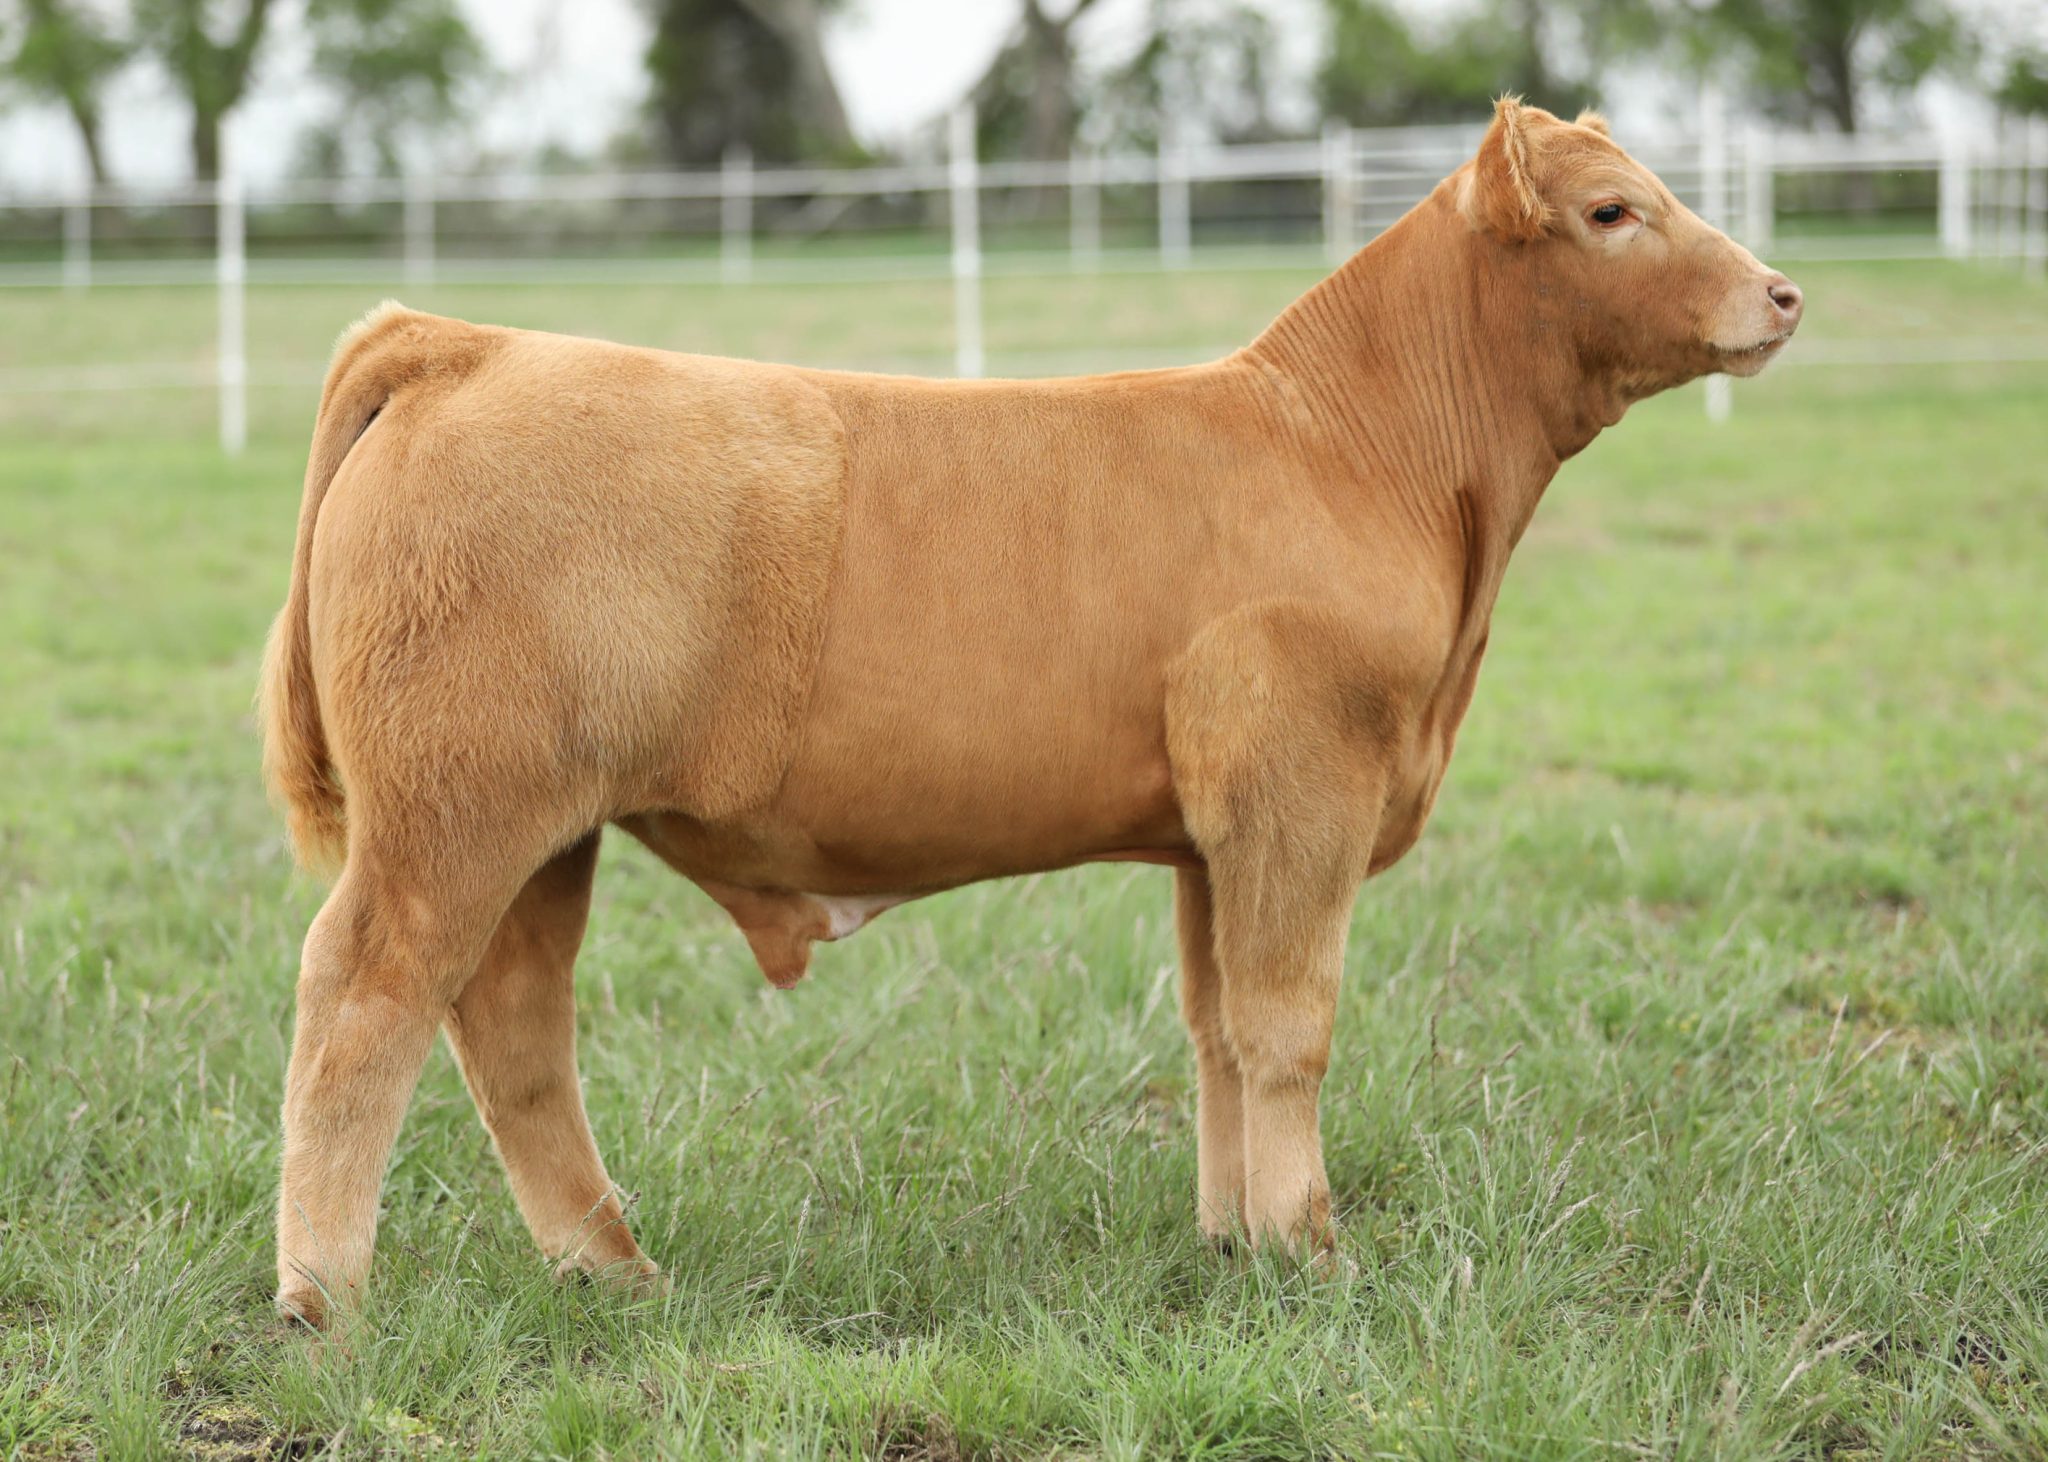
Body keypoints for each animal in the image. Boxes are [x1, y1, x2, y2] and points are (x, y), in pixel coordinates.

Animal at [260, 99, 1802, 1327]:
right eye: (1612, 210)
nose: (1782, 295)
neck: (1359, 452)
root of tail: (468, 343)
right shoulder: (1302, 793)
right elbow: (1289, 1025)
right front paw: (1314, 1251)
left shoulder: (1209, 838)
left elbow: (1218, 1027)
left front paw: (1237, 1242)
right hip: (454, 818)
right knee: (366, 995)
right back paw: (327, 1295)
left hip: (540, 831)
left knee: (513, 1023)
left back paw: (611, 1268)